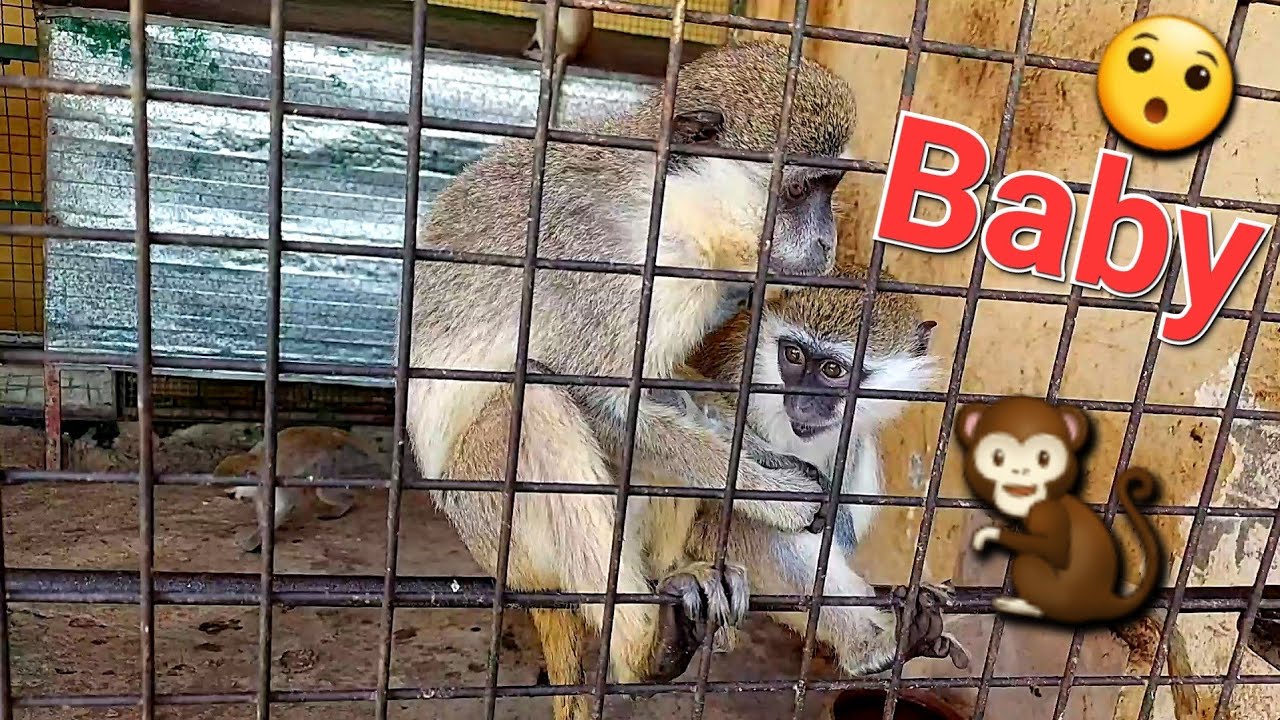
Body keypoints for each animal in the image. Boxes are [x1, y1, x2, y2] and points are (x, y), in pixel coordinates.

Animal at [217, 426, 386, 553]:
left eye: (231, 493)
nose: (233, 497)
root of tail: (329, 434)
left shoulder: (276, 476)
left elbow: (284, 506)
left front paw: (254, 543)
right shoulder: (261, 489)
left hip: (330, 459)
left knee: (323, 490)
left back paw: (345, 504)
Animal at [407, 41, 853, 719]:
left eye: (831, 189)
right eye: (803, 191)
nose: (827, 241)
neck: (671, 212)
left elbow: (664, 383)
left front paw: (769, 462)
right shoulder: (598, 264)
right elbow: (601, 396)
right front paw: (770, 493)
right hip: (496, 523)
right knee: (529, 400)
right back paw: (642, 645)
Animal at [955, 396, 1165, 626]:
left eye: (1044, 457)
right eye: (998, 456)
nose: (1020, 470)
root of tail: (1103, 600)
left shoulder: (1049, 513)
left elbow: (1054, 548)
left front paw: (989, 534)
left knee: (1027, 562)